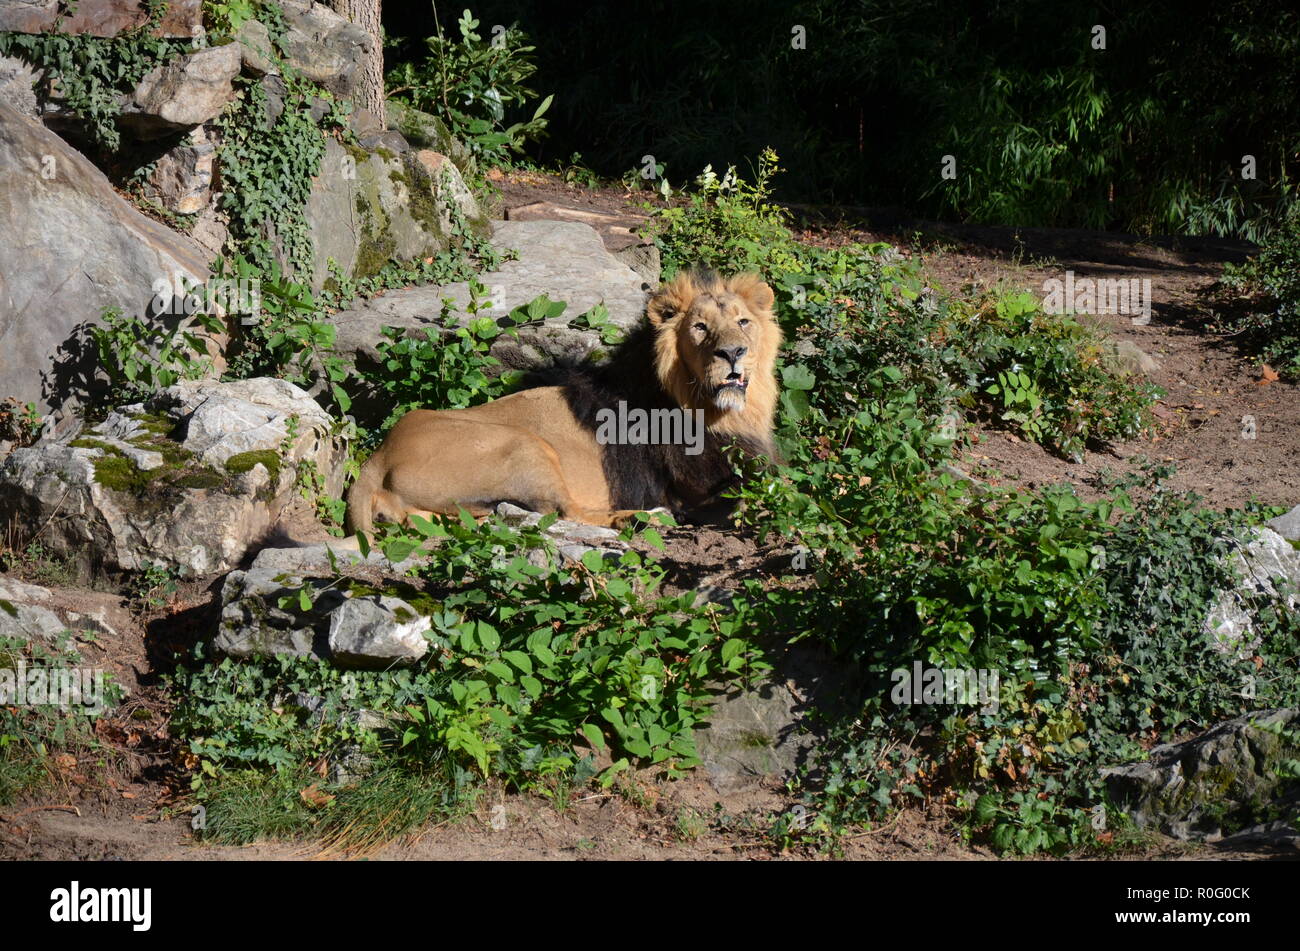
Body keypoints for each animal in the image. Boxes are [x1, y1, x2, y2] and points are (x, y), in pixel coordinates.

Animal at [343, 269, 782, 534]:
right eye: (700, 328)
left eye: (743, 322)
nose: (733, 353)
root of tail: (378, 457)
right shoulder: (695, 486)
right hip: (526, 445)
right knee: (566, 513)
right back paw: (647, 519)